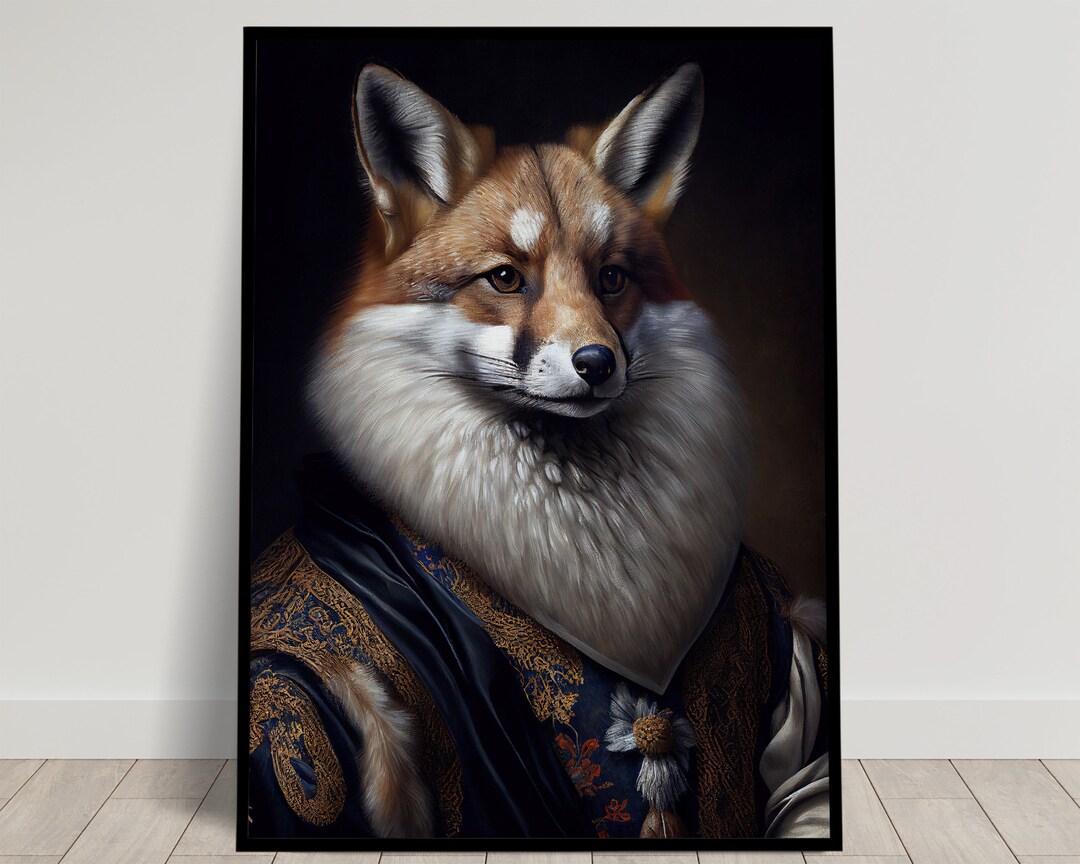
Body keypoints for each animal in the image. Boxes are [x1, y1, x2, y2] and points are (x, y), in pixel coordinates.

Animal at [248, 61, 830, 843]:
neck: (621, 615)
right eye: (504, 277)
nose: (596, 363)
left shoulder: (799, 726)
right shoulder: (289, 701)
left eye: (611, 277)